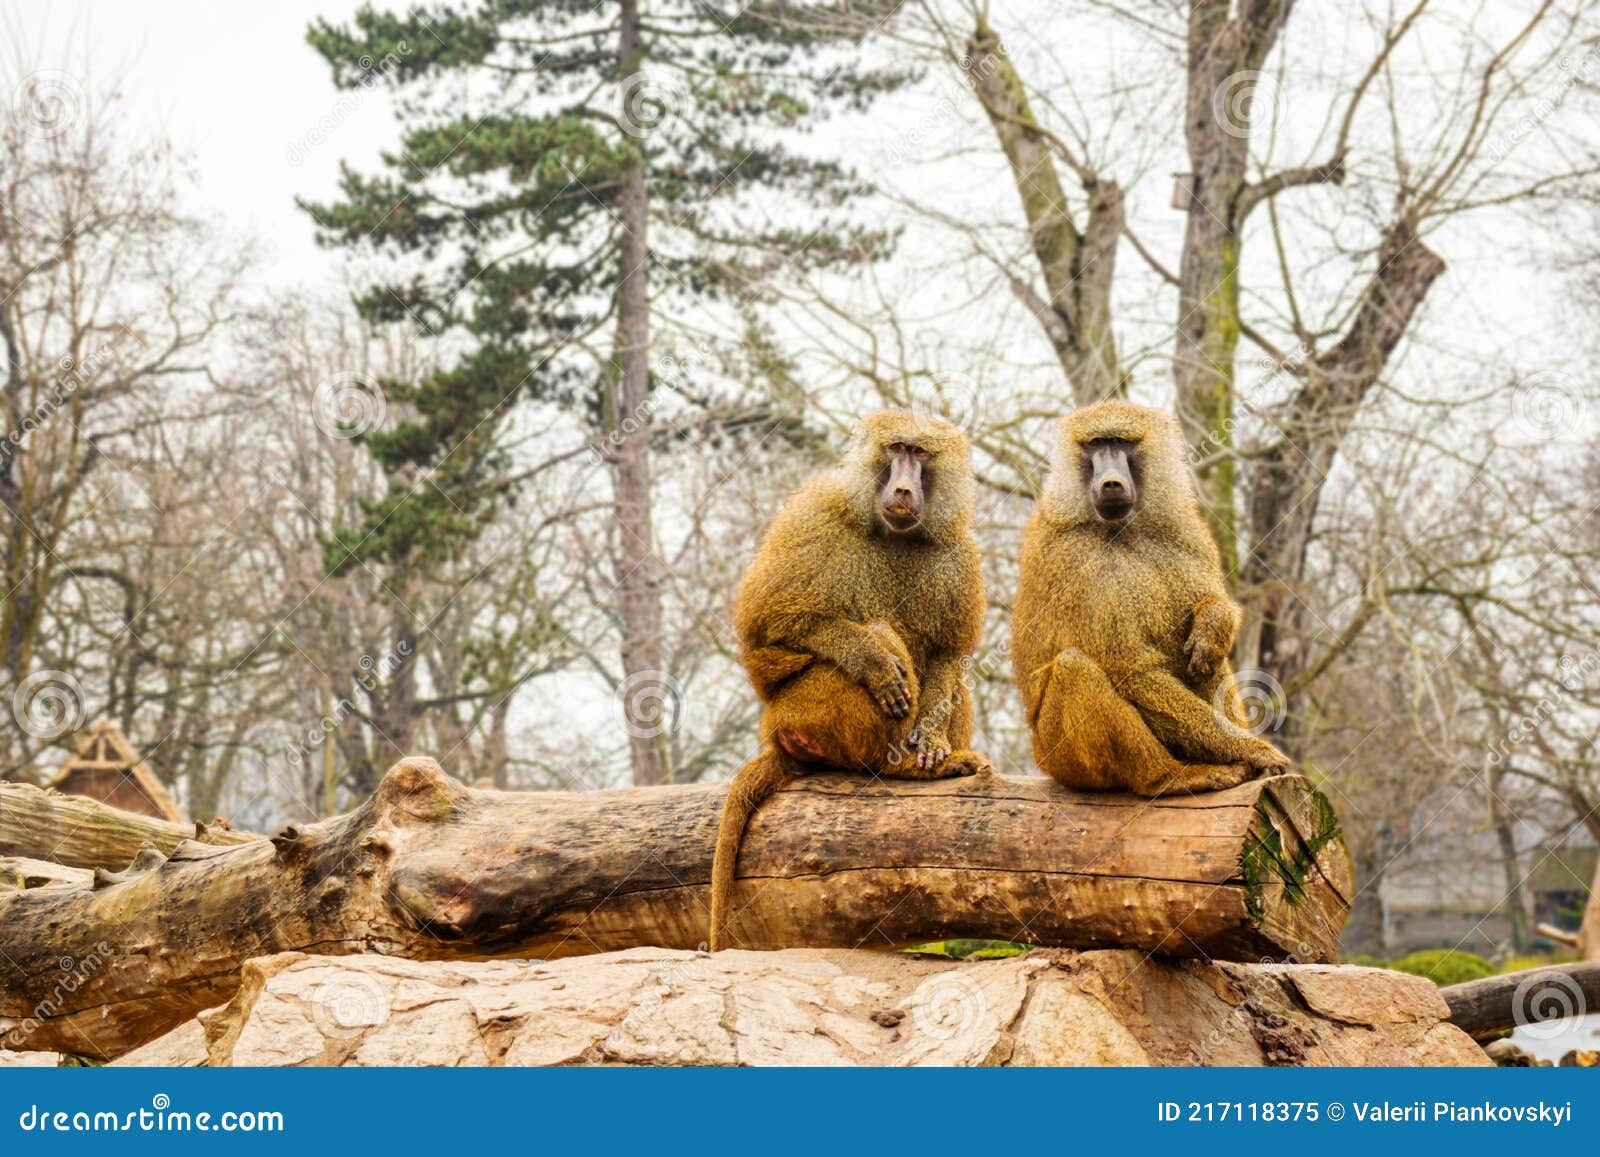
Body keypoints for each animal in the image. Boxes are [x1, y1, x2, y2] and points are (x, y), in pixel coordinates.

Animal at [708, 411, 992, 951]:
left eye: (919, 454)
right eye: (895, 449)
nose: (902, 488)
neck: (894, 534)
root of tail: (778, 734)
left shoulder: (958, 550)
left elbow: (950, 656)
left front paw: (932, 741)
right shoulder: (813, 513)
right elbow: (767, 628)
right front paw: (871, 658)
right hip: (811, 707)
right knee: (878, 637)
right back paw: (907, 766)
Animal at [1011, 399, 1292, 796]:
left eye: (1122, 442)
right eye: (1095, 444)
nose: (1111, 482)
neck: (1121, 527)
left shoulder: (1183, 529)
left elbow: (1208, 606)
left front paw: (1215, 620)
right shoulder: (1074, 556)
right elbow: (1131, 668)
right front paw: (1253, 749)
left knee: (1206, 655)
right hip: (1060, 759)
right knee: (1073, 667)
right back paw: (1169, 777)